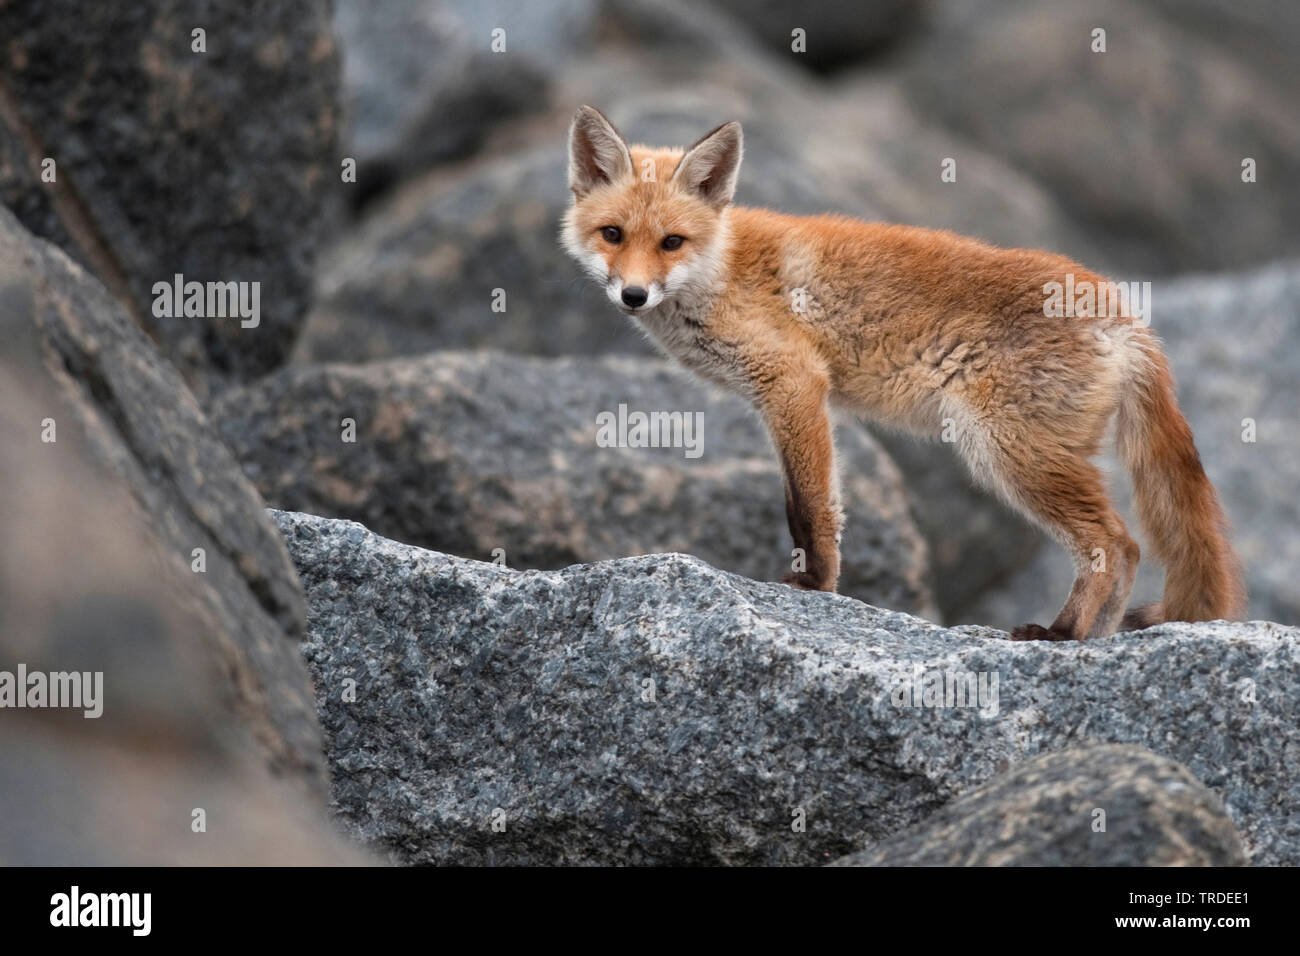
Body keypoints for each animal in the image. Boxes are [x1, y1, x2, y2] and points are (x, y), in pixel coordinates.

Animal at [560, 105, 1245, 640]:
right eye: (613, 234)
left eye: (671, 242)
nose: (633, 295)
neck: (722, 272)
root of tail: (1122, 310)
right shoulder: (790, 402)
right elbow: (808, 503)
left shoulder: (795, 384)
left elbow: (810, 508)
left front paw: (814, 587)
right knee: (1125, 553)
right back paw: (1091, 640)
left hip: (1009, 451)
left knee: (1115, 543)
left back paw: (1059, 633)